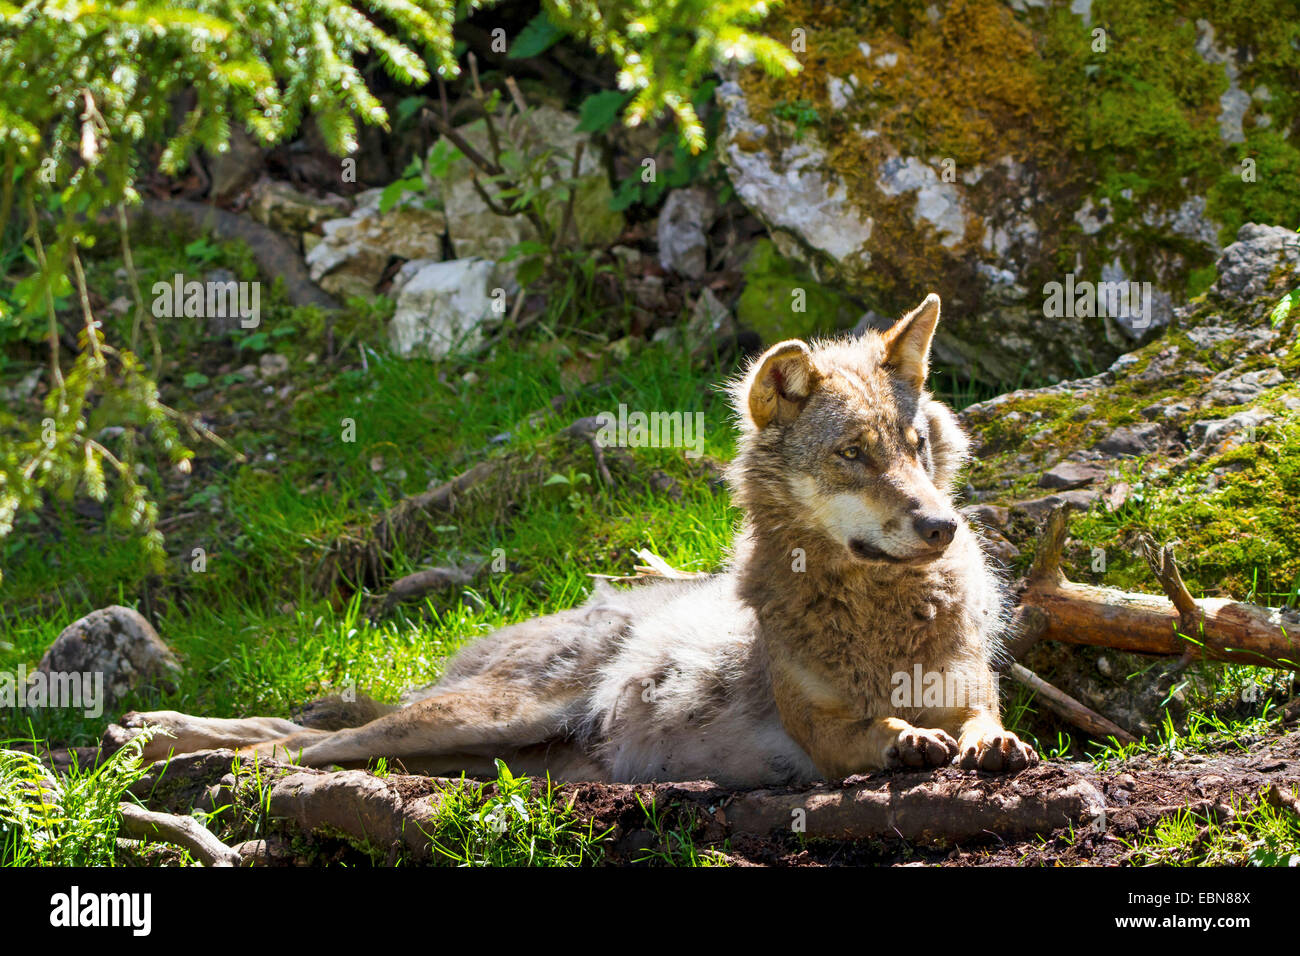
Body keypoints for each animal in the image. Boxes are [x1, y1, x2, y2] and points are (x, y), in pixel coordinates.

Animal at [110, 294, 1036, 787]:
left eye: (915, 447)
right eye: (854, 455)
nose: (942, 525)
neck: (884, 619)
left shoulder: (968, 684)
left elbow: (983, 718)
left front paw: (987, 743)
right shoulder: (819, 731)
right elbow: (869, 733)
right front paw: (905, 738)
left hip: (487, 751)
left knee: (314, 730)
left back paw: (154, 738)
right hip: (480, 719)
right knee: (307, 741)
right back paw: (171, 752)